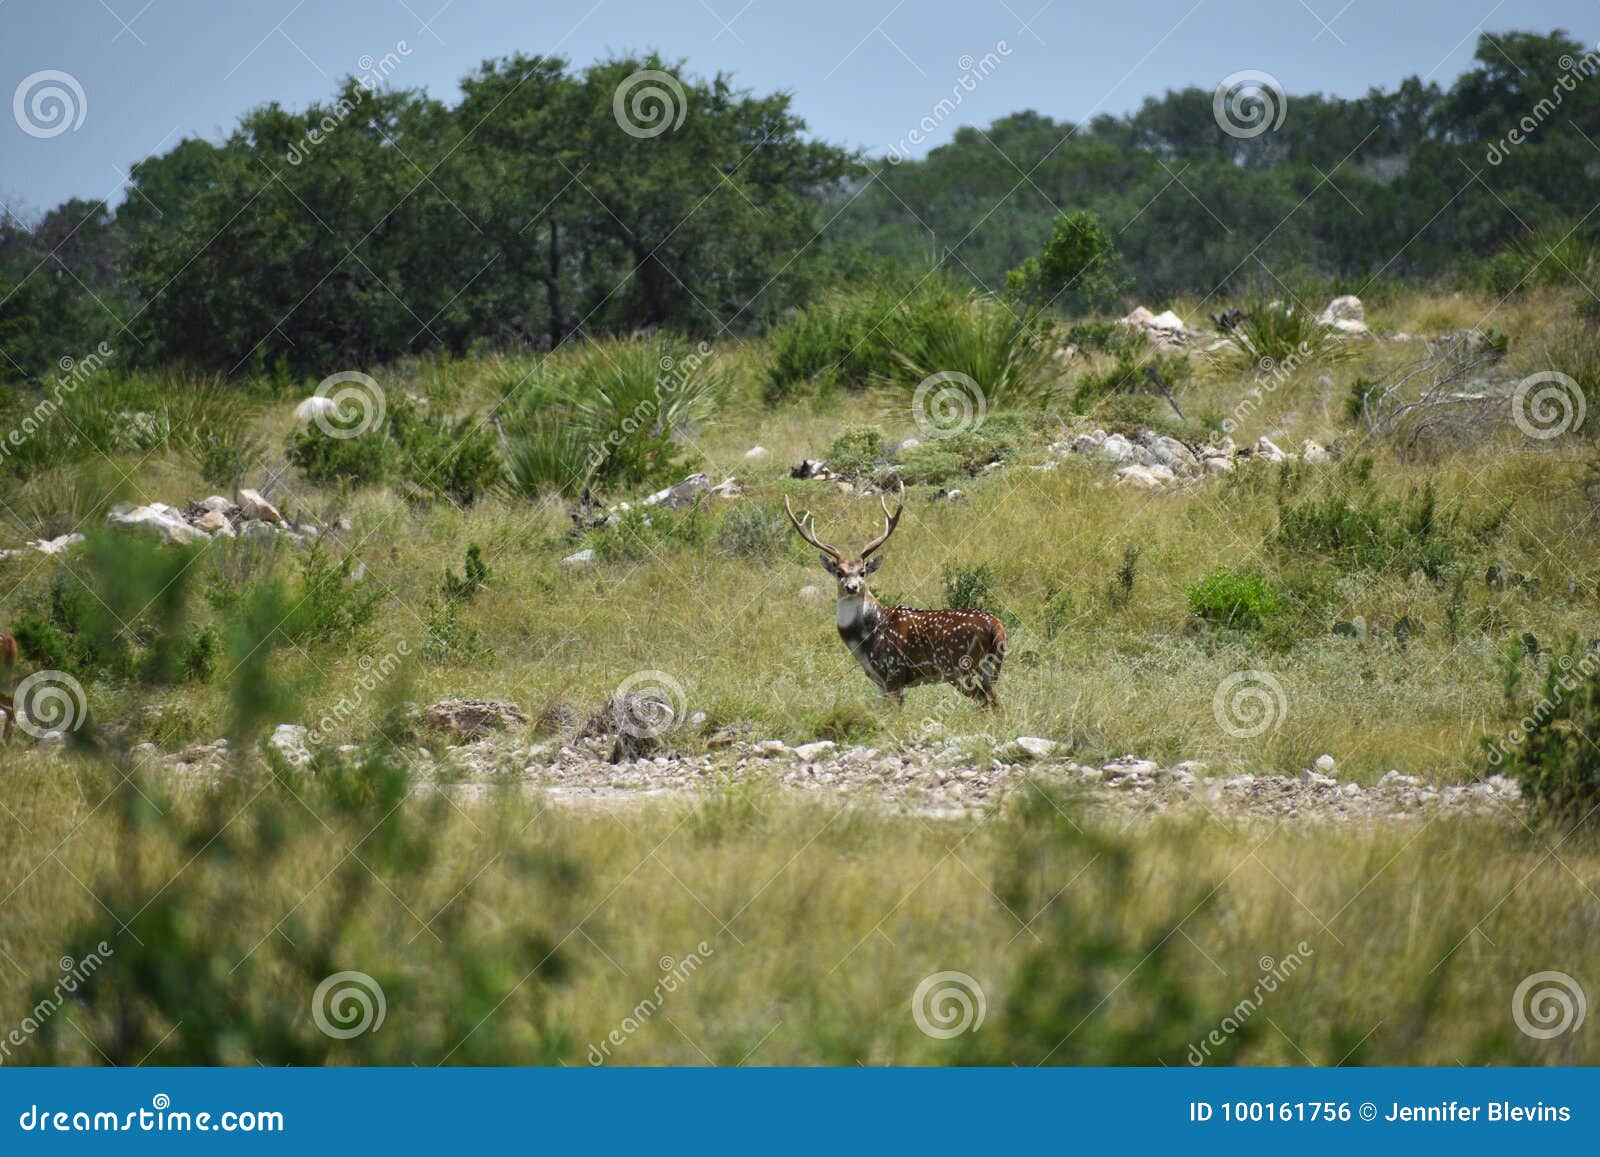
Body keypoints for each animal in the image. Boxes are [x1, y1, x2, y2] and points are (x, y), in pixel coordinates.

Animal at [784, 484, 1006, 707]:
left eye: (862, 572)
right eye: (839, 572)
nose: (852, 587)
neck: (864, 640)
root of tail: (996, 627)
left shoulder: (893, 672)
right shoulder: (879, 682)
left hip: (959, 665)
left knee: (984, 701)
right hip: (989, 668)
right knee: (995, 701)